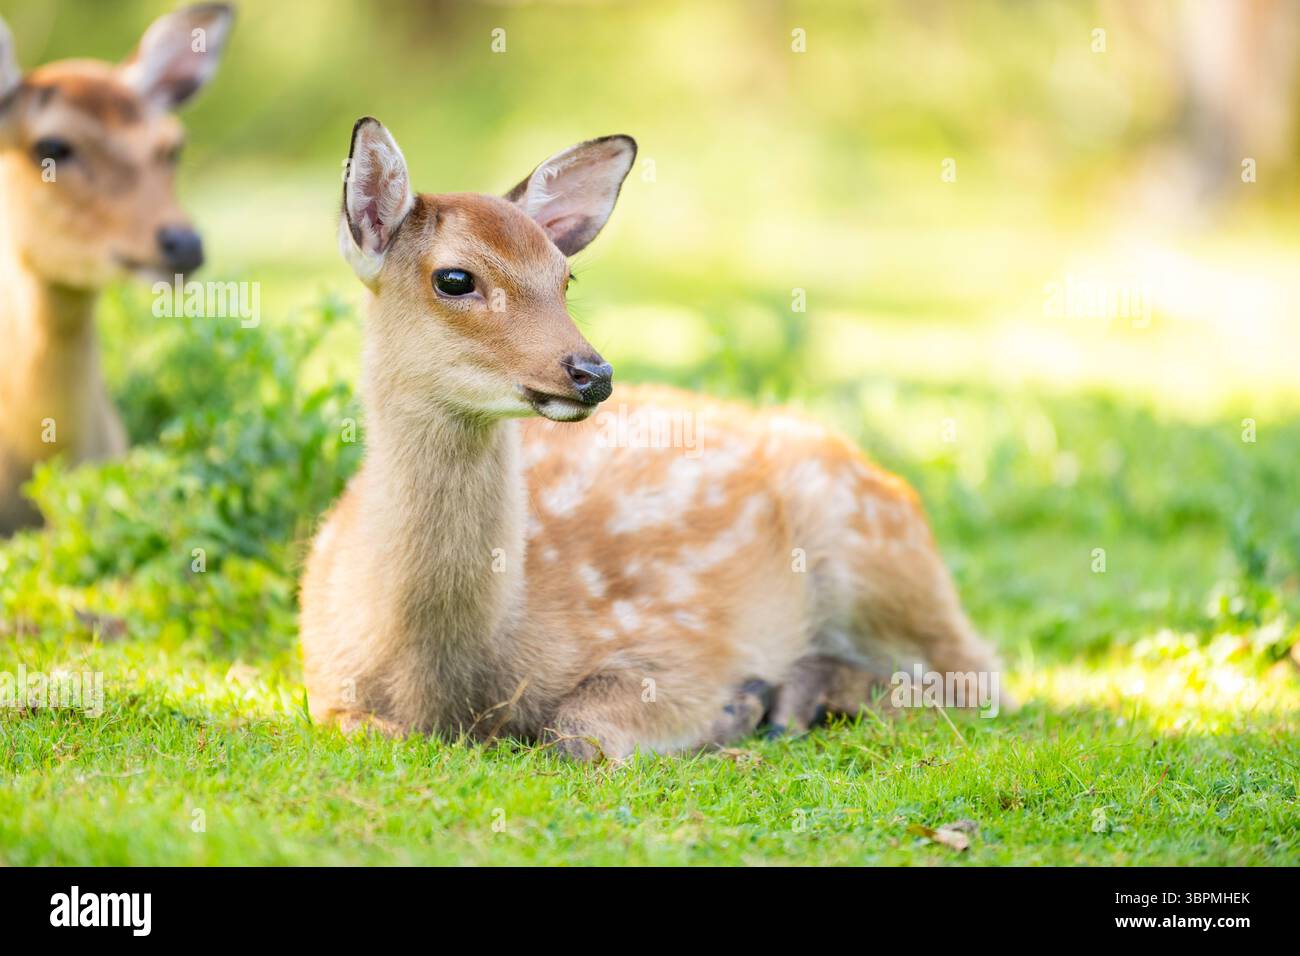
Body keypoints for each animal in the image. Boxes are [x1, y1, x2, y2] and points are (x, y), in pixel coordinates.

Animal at [299, 118, 1004, 761]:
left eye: (566, 279)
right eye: (453, 278)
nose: (592, 373)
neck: (450, 685)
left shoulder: (686, 639)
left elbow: (574, 729)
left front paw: (729, 711)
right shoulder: (323, 685)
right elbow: (364, 729)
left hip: (873, 548)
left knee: (976, 676)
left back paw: (784, 701)